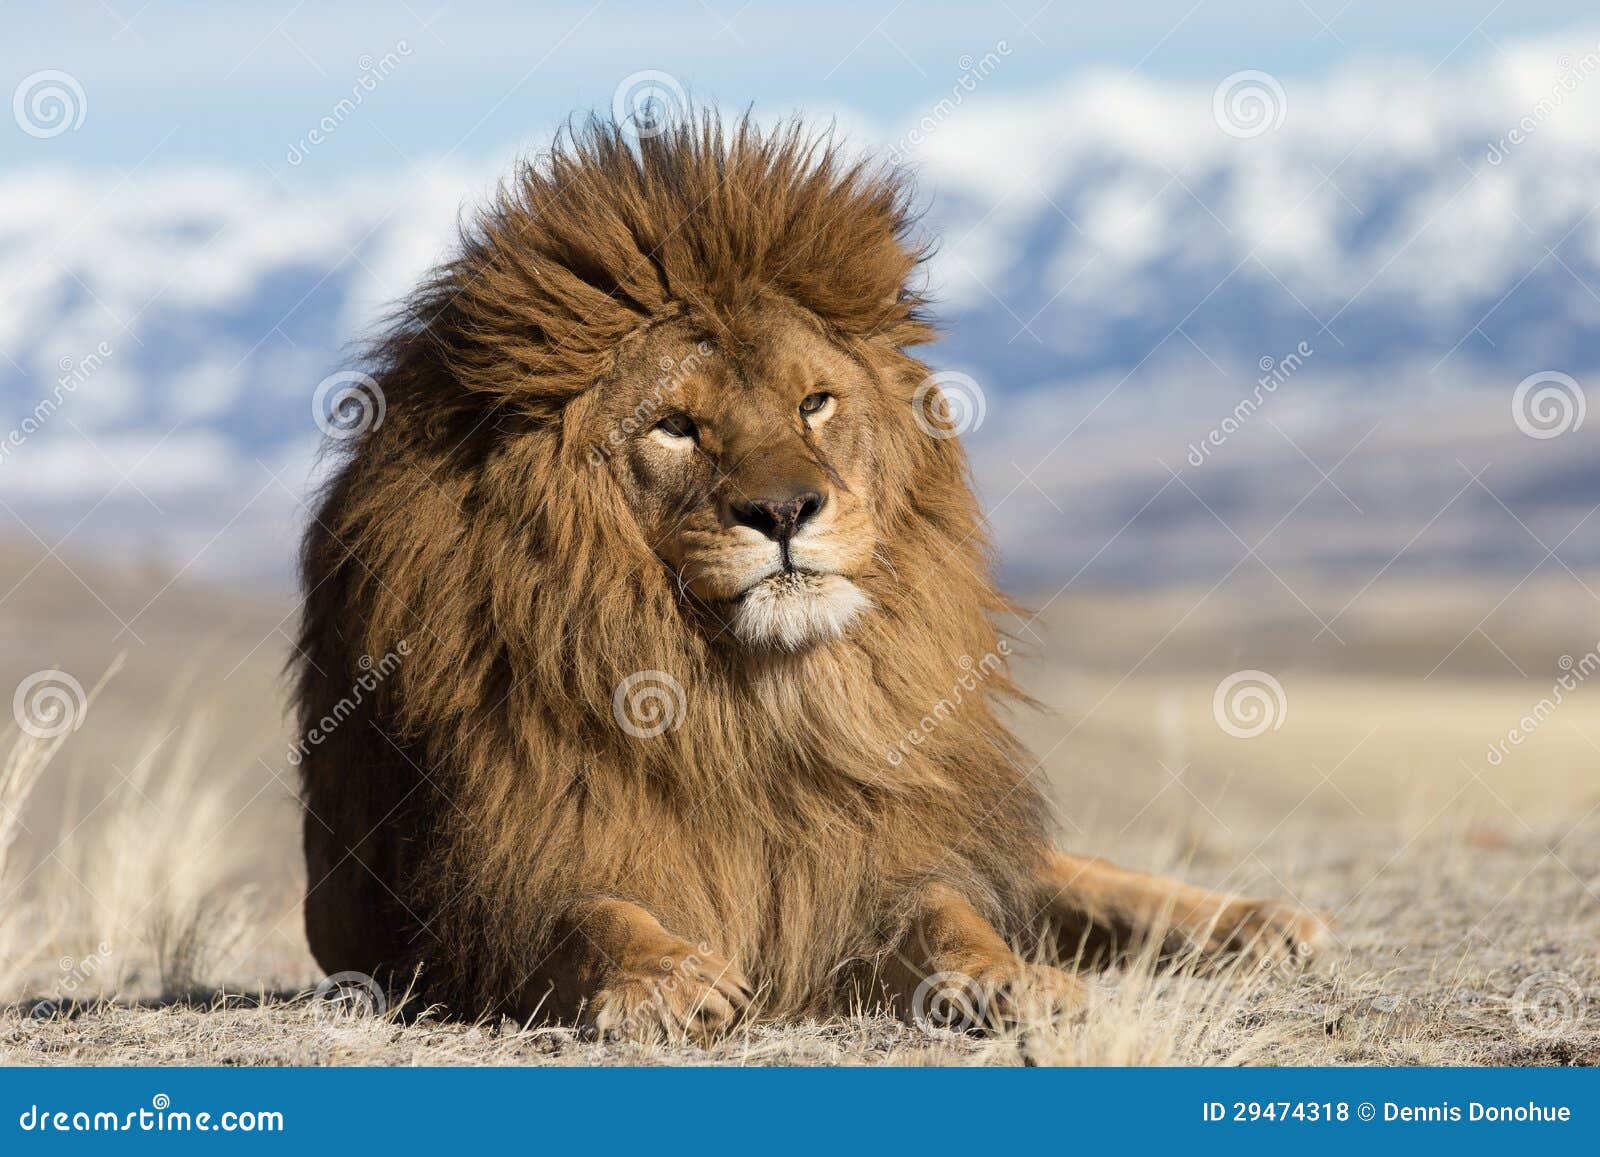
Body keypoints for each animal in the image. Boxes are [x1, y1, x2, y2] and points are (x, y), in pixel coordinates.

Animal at [294, 114, 1326, 1039]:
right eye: (675, 425)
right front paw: (667, 979)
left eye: (814, 404)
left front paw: (1004, 978)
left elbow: (951, 912)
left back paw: (1267, 924)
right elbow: (586, 917)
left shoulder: (877, 846)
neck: (753, 703)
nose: (786, 511)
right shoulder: (485, 889)